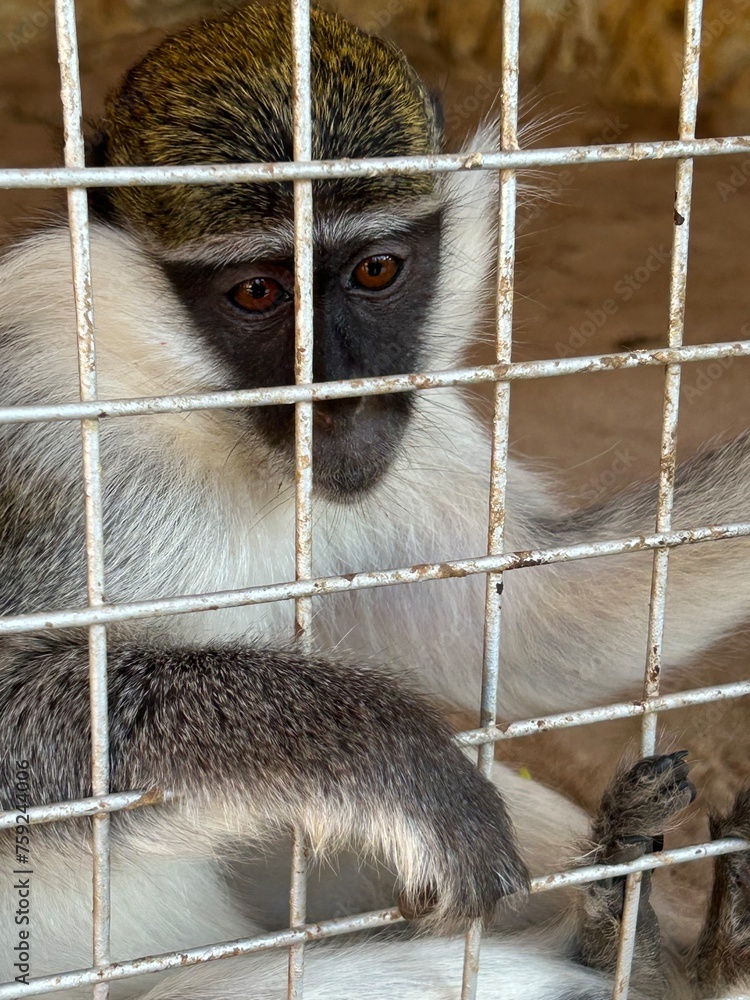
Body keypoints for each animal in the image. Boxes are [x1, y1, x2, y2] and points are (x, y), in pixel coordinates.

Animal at [1, 2, 750, 997]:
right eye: (257, 291)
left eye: (377, 271)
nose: (345, 399)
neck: (220, 443)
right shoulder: (52, 467)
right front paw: (381, 750)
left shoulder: (412, 448)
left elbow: (539, 623)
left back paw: (665, 943)